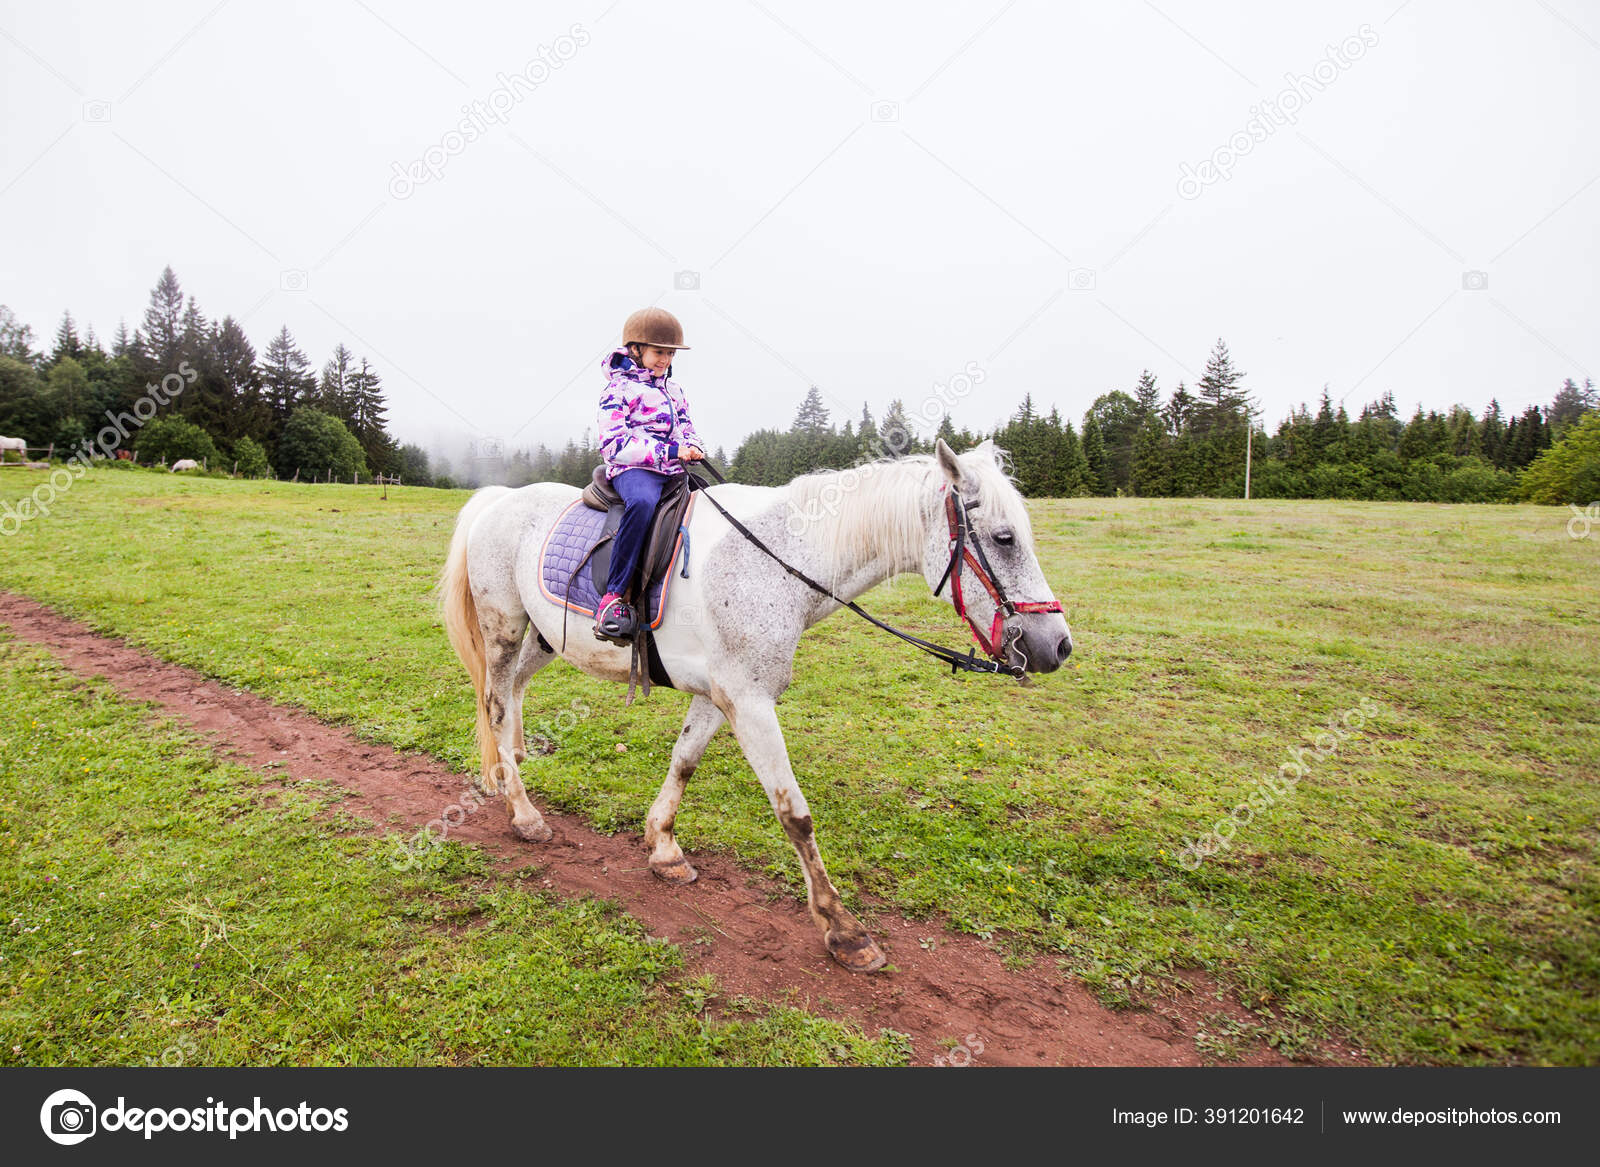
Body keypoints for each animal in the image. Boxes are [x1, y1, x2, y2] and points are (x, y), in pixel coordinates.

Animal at [438, 439, 1072, 971]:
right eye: (1004, 538)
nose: (1059, 646)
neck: (777, 563)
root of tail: (499, 500)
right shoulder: (751, 703)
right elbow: (795, 814)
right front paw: (843, 928)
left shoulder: (720, 696)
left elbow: (684, 762)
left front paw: (663, 847)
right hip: (503, 628)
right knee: (495, 703)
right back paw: (524, 812)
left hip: (544, 638)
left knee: (513, 693)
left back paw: (511, 767)